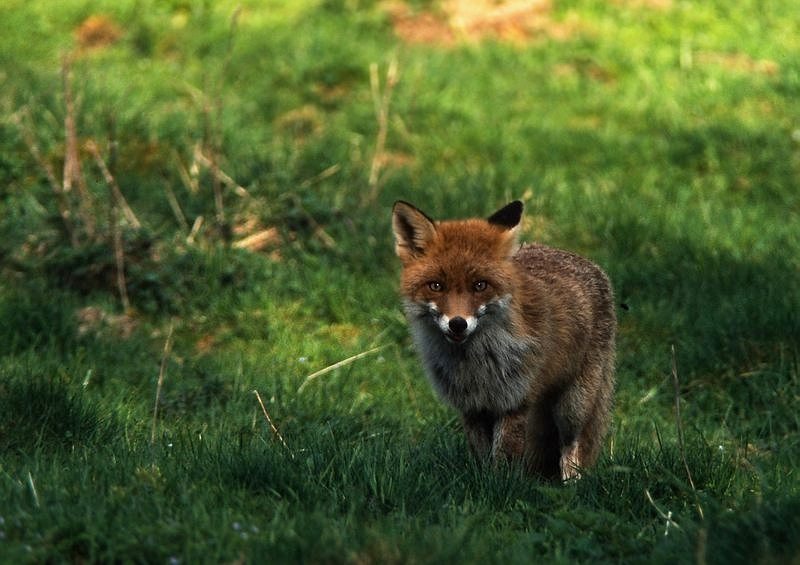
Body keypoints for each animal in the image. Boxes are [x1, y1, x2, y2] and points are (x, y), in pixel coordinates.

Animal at [392, 200, 616, 481]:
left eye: (480, 285)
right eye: (436, 286)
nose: (457, 323)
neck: (476, 365)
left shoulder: (515, 401)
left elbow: (503, 457)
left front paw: (498, 486)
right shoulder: (473, 407)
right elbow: (482, 456)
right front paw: (482, 481)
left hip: (573, 405)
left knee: (571, 447)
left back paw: (571, 484)